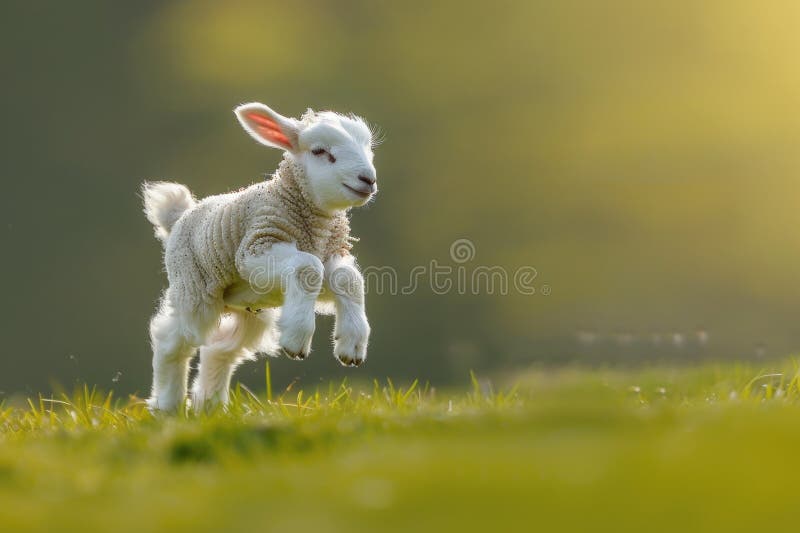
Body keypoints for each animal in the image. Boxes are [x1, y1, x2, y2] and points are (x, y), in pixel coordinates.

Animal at [142, 102, 379, 411]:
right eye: (319, 151)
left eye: (368, 148)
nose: (368, 179)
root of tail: (179, 216)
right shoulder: (255, 249)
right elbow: (307, 267)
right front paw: (296, 339)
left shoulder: (328, 253)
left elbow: (347, 277)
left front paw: (351, 345)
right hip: (194, 290)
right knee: (171, 340)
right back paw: (168, 406)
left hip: (251, 309)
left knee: (221, 348)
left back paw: (210, 406)